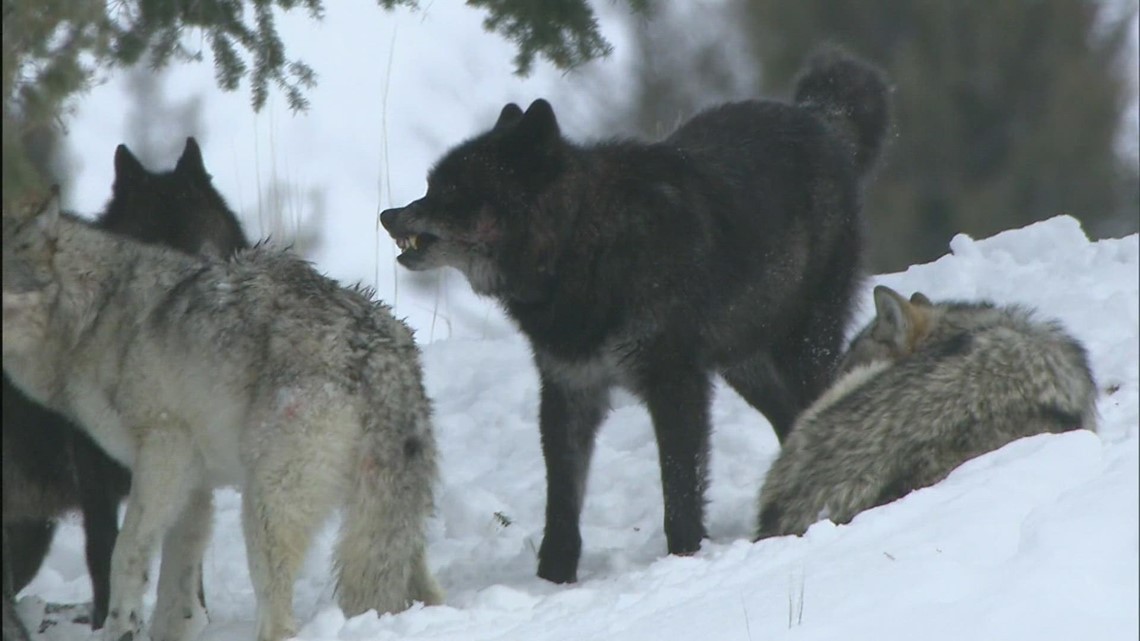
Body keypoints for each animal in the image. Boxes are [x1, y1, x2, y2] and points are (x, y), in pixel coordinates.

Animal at [3, 190, 442, 641]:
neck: (93, 316)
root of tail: (381, 355)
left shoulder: (164, 453)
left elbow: (125, 554)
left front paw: (121, 624)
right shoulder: (194, 485)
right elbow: (177, 597)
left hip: (264, 507)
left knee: (280, 622)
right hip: (389, 527)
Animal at [381, 48, 891, 583]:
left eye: (450, 191)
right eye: (429, 186)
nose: (388, 216)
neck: (583, 243)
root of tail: (816, 118)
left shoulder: (675, 384)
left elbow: (681, 489)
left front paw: (686, 556)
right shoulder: (569, 389)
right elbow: (562, 502)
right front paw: (554, 578)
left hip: (801, 349)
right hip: (744, 365)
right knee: (791, 419)